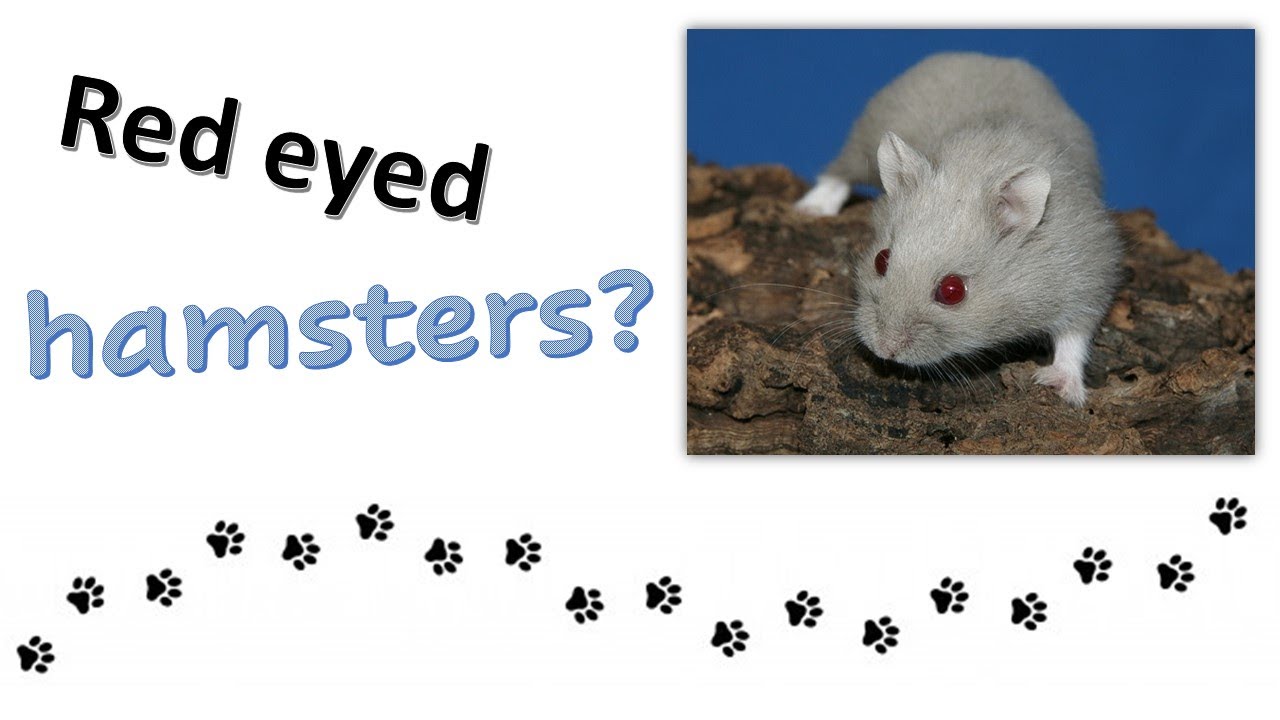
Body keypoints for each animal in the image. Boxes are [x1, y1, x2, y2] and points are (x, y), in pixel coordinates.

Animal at [795, 52, 1124, 406]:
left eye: (952, 291)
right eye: (880, 260)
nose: (884, 350)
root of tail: (989, 58)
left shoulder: (1088, 275)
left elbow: (1074, 336)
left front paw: (1063, 391)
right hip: (865, 138)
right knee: (839, 172)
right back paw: (809, 210)